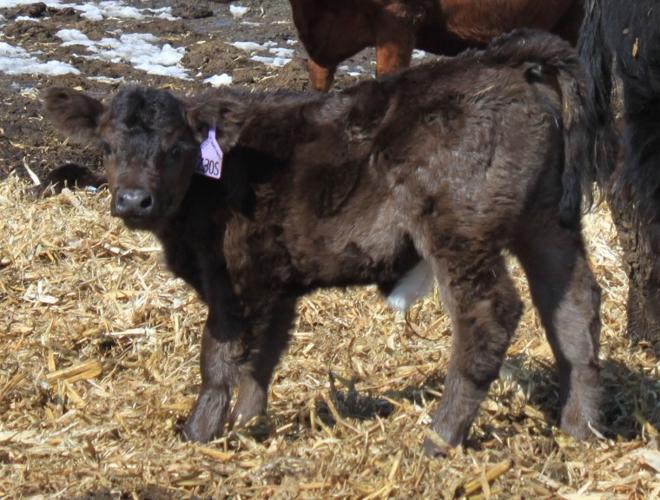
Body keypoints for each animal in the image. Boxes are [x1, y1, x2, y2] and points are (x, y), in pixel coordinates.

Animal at [45, 30, 601, 454]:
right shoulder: (276, 283)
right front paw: (248, 427)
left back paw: (440, 438)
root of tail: (500, 60)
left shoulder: (235, 281)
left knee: (490, 316)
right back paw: (581, 428)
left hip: (460, 232)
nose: (134, 200)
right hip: (546, 223)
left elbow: (219, 360)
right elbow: (262, 358)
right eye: (106, 146)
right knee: (574, 307)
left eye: (178, 148)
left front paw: (198, 435)